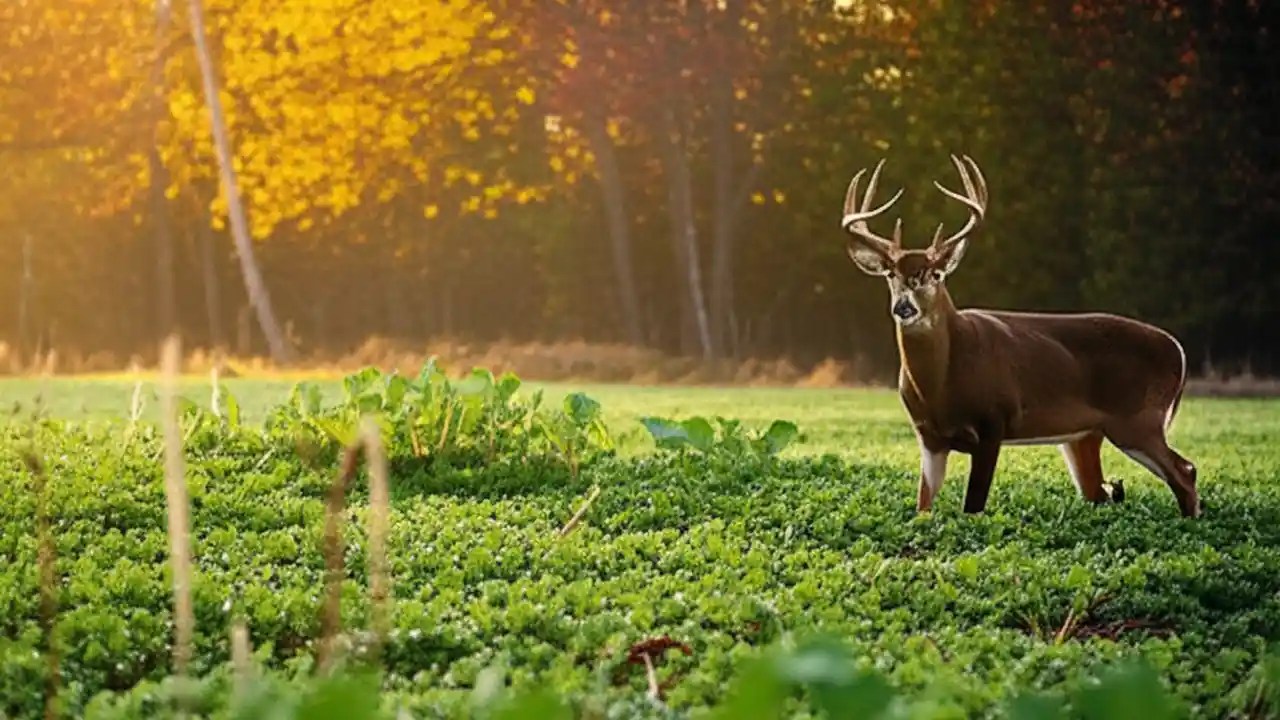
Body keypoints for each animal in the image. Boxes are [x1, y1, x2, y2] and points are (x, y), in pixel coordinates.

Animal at [839, 155, 1199, 518]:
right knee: (1107, 490)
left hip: (1138, 419)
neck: (941, 386)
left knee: (1185, 471)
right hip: (1085, 435)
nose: (903, 307)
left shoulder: (994, 421)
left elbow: (973, 506)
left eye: (935, 274)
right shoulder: (928, 435)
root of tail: (1179, 350)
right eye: (890, 274)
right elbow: (923, 505)